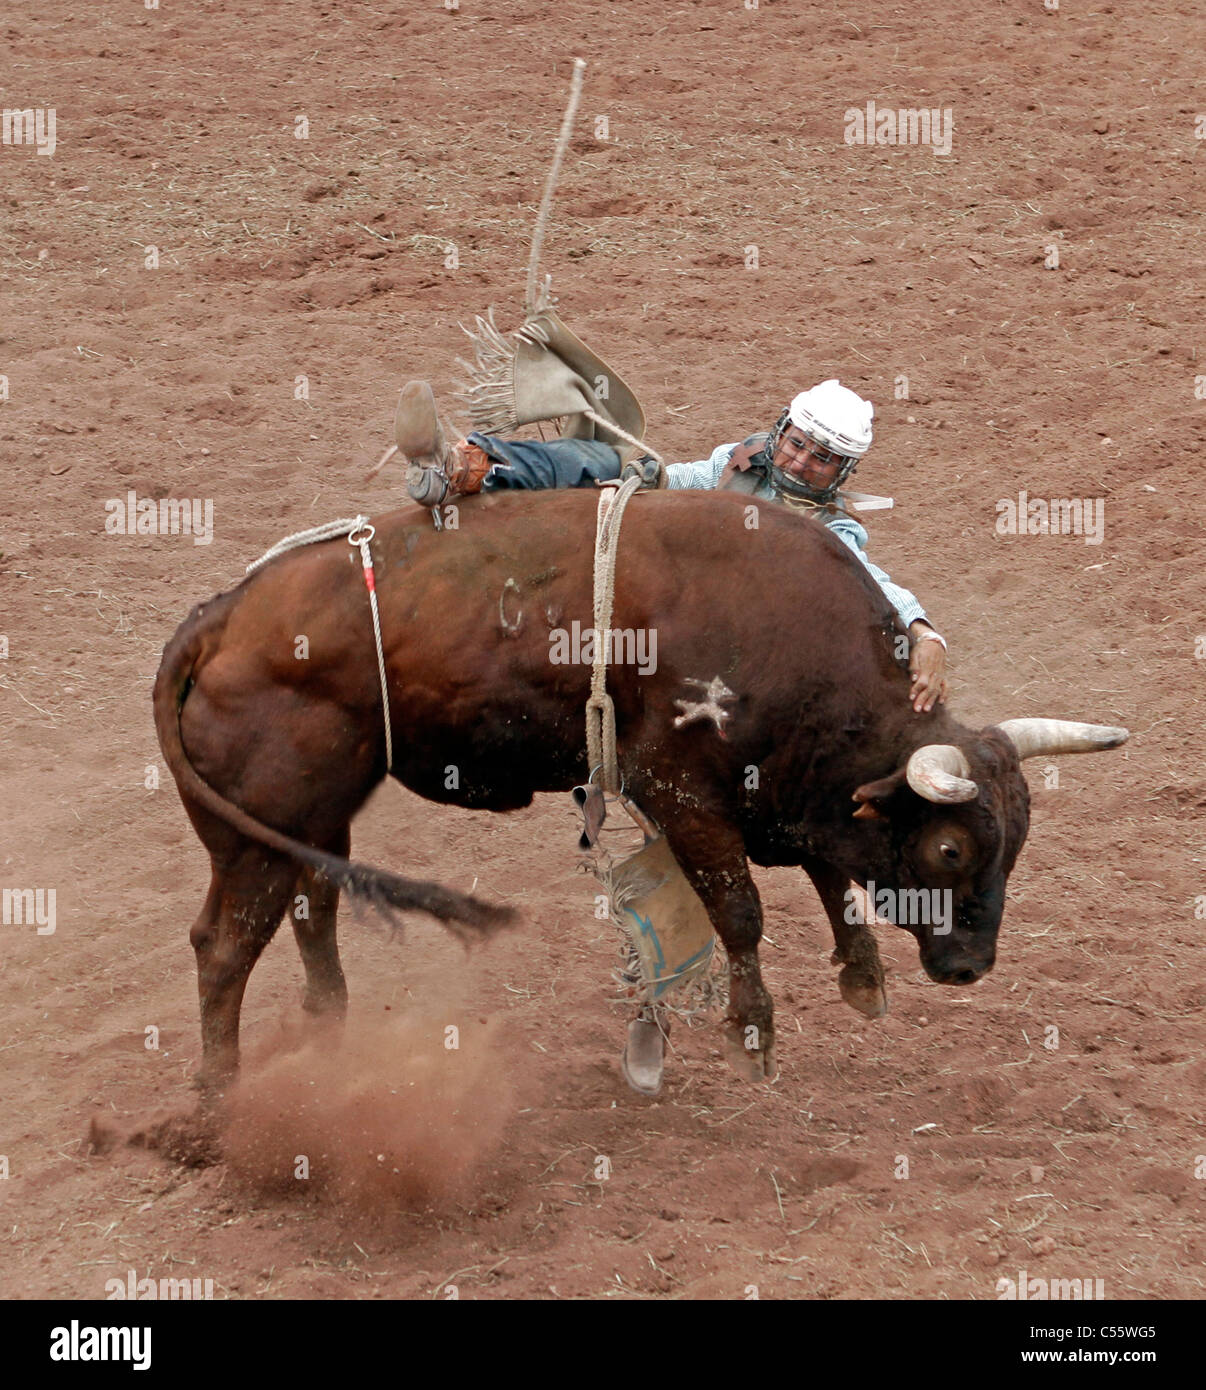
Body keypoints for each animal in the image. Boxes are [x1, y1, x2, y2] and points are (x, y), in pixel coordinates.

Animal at [152, 486, 1127, 1093]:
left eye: (1017, 843)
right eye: (952, 847)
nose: (970, 967)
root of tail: (222, 618)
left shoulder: (788, 792)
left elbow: (829, 871)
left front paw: (860, 973)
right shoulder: (679, 791)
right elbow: (740, 911)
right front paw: (753, 1032)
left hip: (314, 821)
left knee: (312, 909)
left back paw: (328, 1038)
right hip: (254, 837)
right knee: (223, 946)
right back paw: (221, 1098)